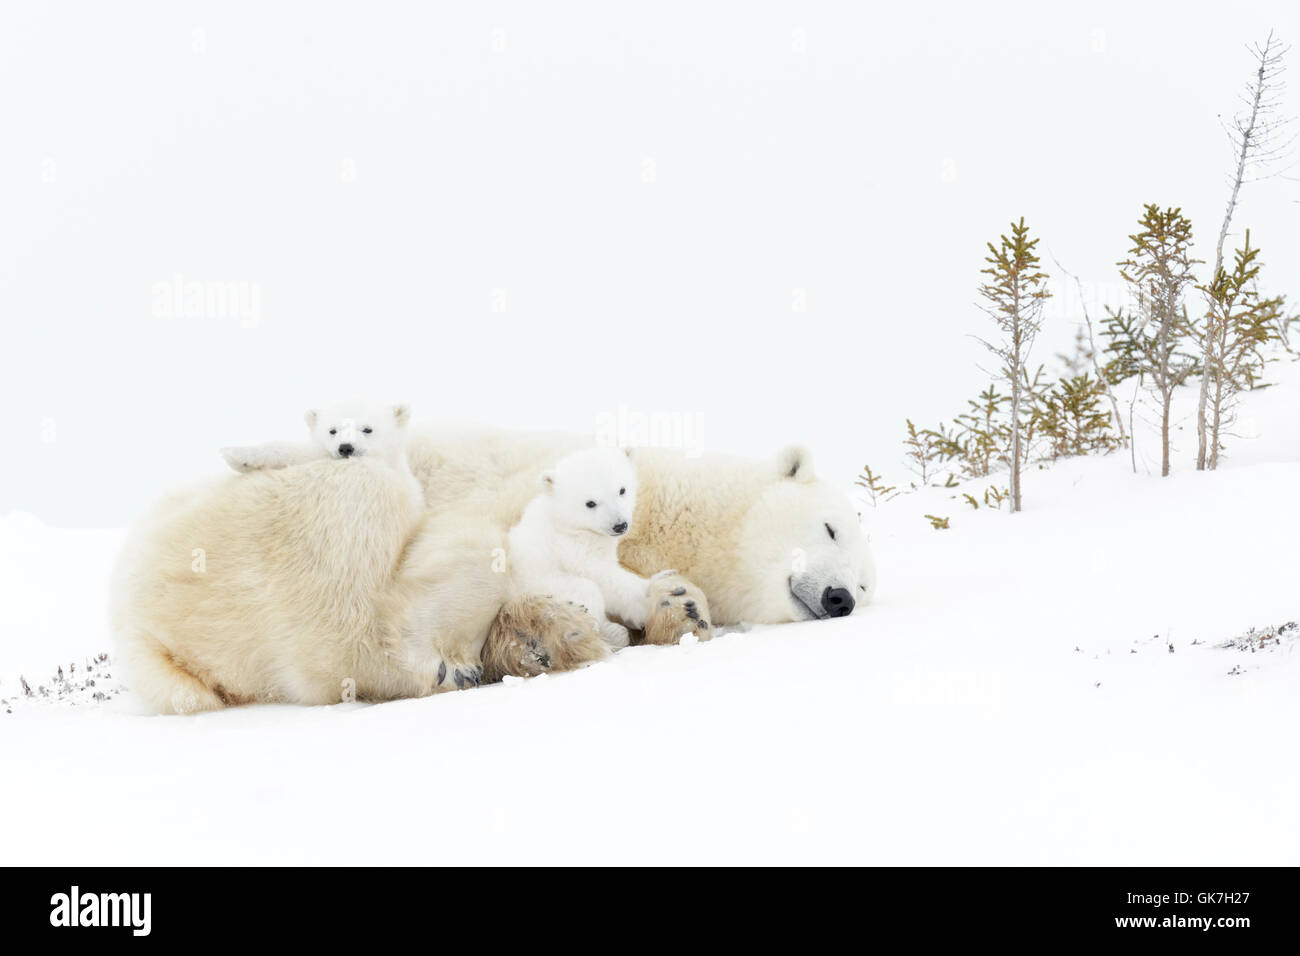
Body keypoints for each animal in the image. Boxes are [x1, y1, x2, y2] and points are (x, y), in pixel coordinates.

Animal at [508, 446, 665, 650]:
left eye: (622, 490)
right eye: (590, 503)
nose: (619, 525)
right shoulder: (570, 546)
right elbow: (600, 574)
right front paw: (652, 588)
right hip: (544, 586)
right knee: (586, 591)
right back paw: (614, 633)